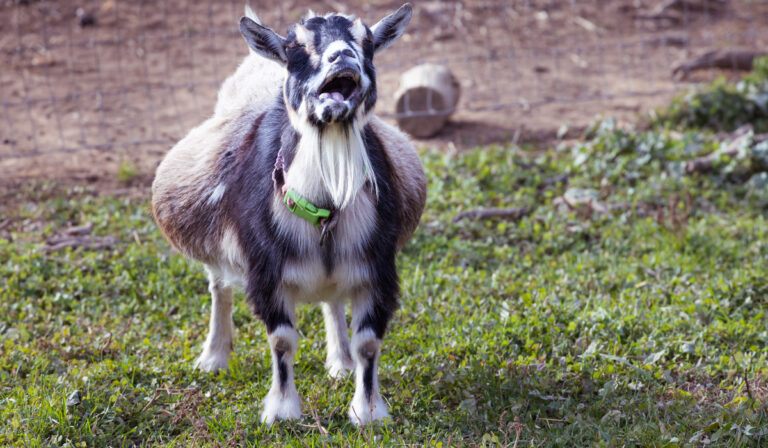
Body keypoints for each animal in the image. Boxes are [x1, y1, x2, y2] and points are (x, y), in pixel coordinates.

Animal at [151, 3, 426, 425]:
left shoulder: (377, 271)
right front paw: (282, 411)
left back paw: (340, 362)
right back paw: (214, 357)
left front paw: (368, 412)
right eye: (296, 47)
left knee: (332, 301)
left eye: (367, 42)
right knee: (219, 286)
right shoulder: (266, 274)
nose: (342, 55)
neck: (325, 207)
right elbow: (281, 341)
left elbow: (367, 343)